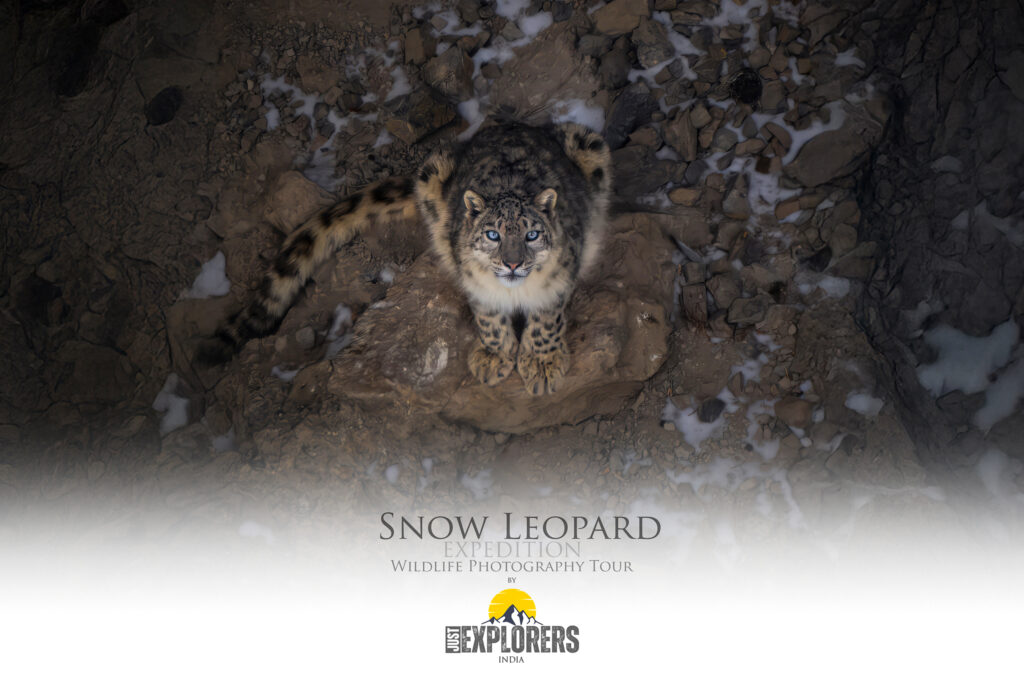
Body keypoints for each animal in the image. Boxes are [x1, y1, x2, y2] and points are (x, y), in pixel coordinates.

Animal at [202, 121, 612, 395]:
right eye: (493, 235)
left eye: (531, 234)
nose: (512, 264)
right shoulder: (477, 285)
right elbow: (490, 321)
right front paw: (494, 359)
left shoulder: (558, 279)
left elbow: (545, 322)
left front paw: (541, 366)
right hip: (431, 171)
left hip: (590, 143)